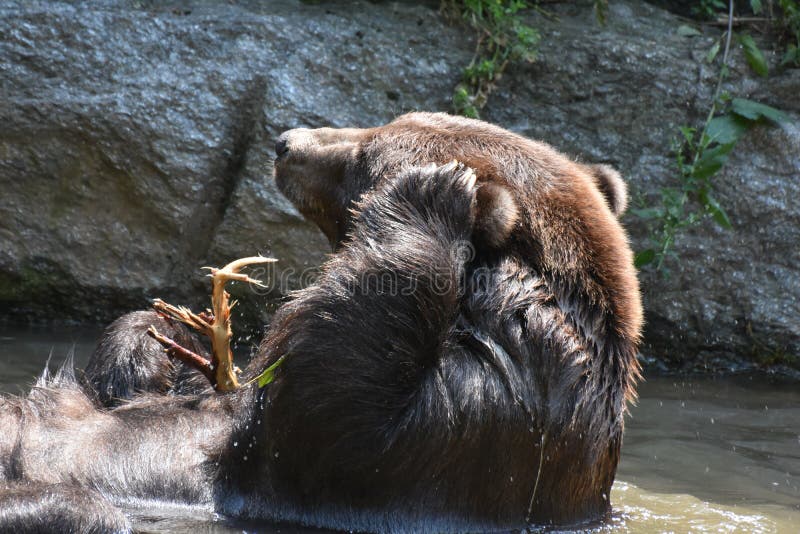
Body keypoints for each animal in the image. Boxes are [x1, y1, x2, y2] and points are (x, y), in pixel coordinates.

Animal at [0, 112, 642, 532]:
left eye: (368, 152)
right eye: (386, 123)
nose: (287, 142)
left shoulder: (487, 423)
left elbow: (340, 409)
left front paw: (433, 190)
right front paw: (154, 340)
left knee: (84, 509)